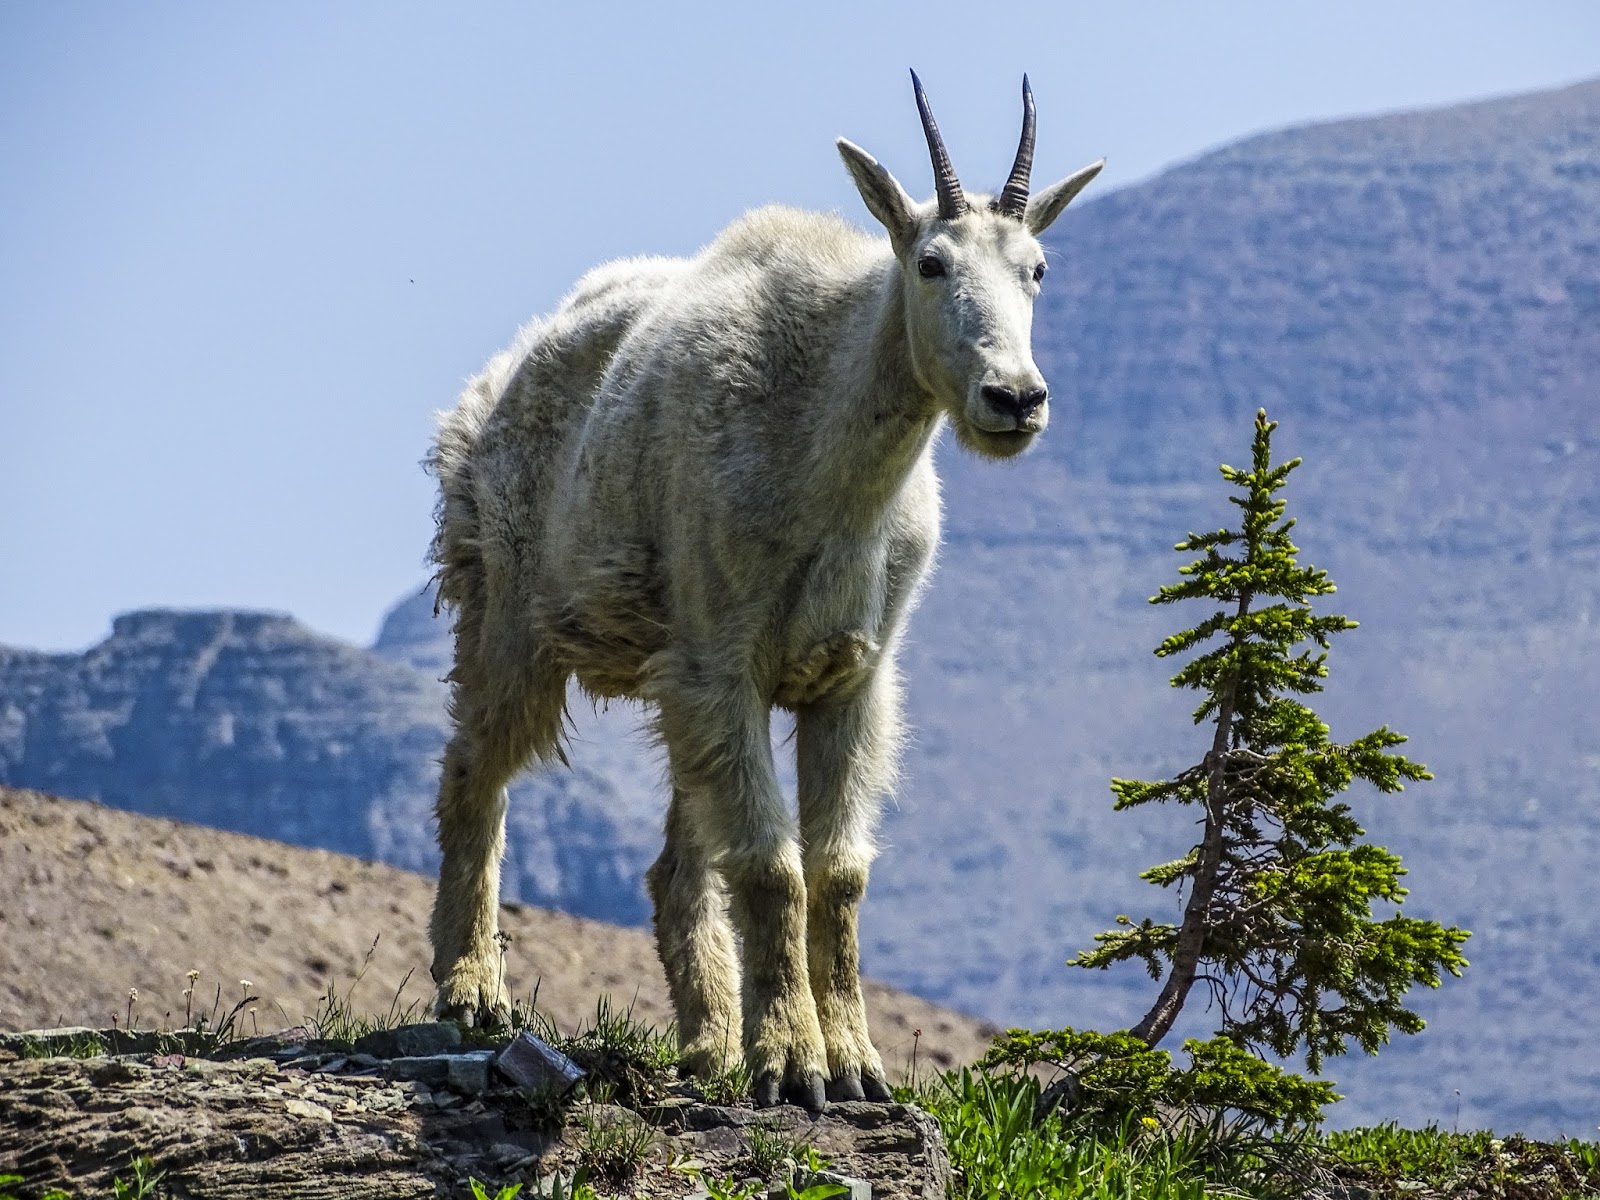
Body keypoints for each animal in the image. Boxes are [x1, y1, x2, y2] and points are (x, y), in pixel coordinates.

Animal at [426, 71, 1102, 1109]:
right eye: (931, 262)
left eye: (1038, 267)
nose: (1015, 400)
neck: (836, 469)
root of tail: (505, 371)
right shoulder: (725, 658)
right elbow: (773, 867)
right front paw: (792, 1062)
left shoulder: (851, 679)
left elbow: (838, 874)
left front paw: (855, 1064)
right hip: (508, 608)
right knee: (476, 772)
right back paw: (473, 995)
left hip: (669, 684)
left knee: (673, 868)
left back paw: (708, 1048)